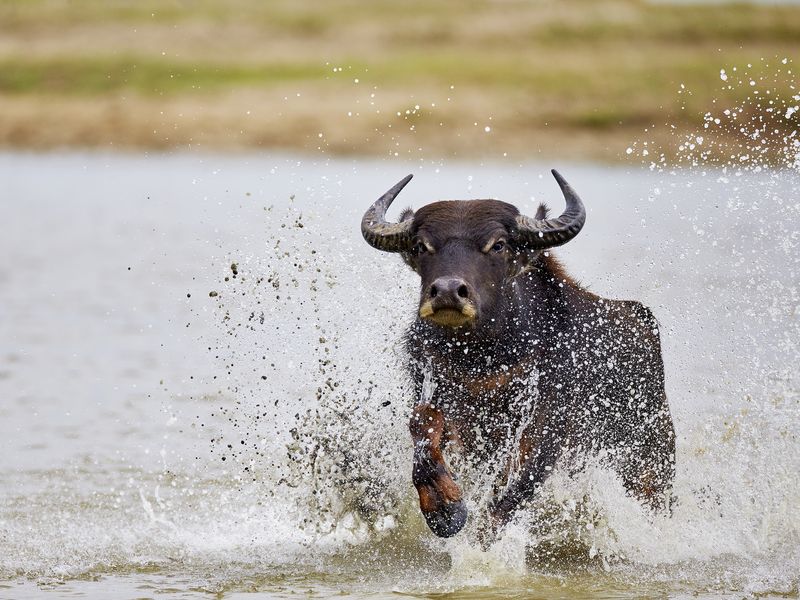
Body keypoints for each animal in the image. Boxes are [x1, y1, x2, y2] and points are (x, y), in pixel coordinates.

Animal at [360, 171, 675, 545]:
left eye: (498, 245)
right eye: (421, 246)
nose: (448, 292)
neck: (482, 360)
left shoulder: (545, 432)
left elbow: (511, 494)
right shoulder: (435, 389)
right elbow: (422, 430)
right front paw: (445, 509)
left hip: (650, 464)